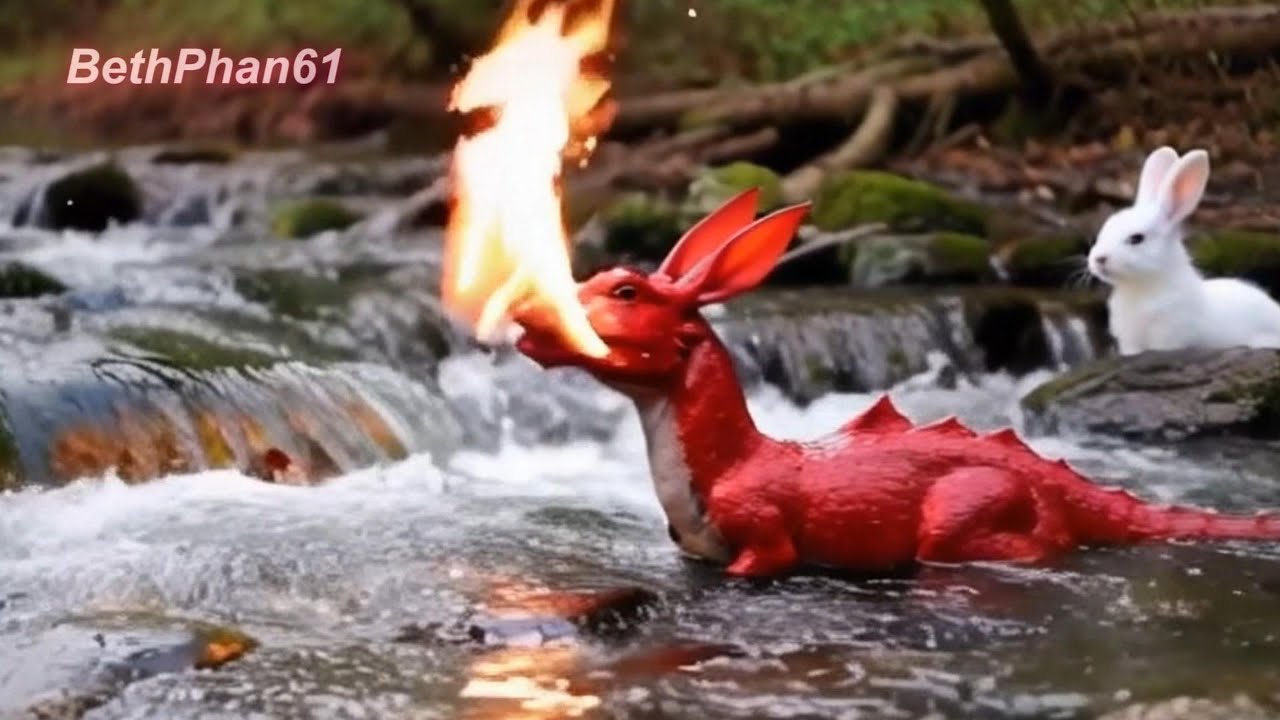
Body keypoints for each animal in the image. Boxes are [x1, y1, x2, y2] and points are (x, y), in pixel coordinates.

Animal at [1088, 146, 1280, 355]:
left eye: (1136, 238)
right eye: (1105, 228)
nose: (1098, 259)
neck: (1142, 288)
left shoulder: (1169, 339)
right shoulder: (1131, 344)